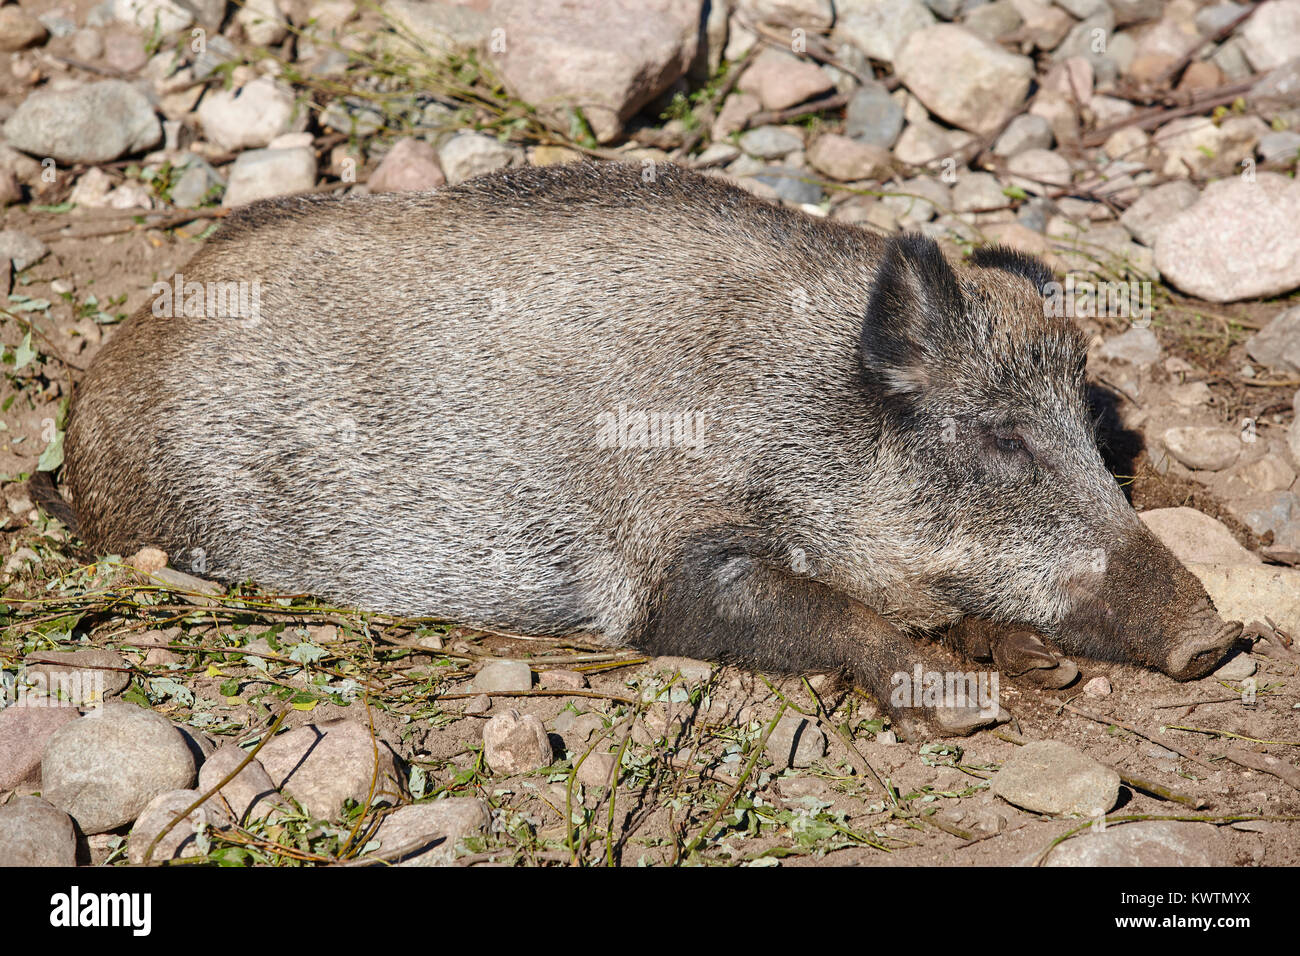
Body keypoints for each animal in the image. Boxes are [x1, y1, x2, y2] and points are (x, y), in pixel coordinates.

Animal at [61, 162, 1244, 736]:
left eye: (1089, 430)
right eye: (999, 436)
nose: (1214, 638)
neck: (803, 417)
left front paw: (1037, 665)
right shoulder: (669, 565)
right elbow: (821, 613)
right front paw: (965, 710)